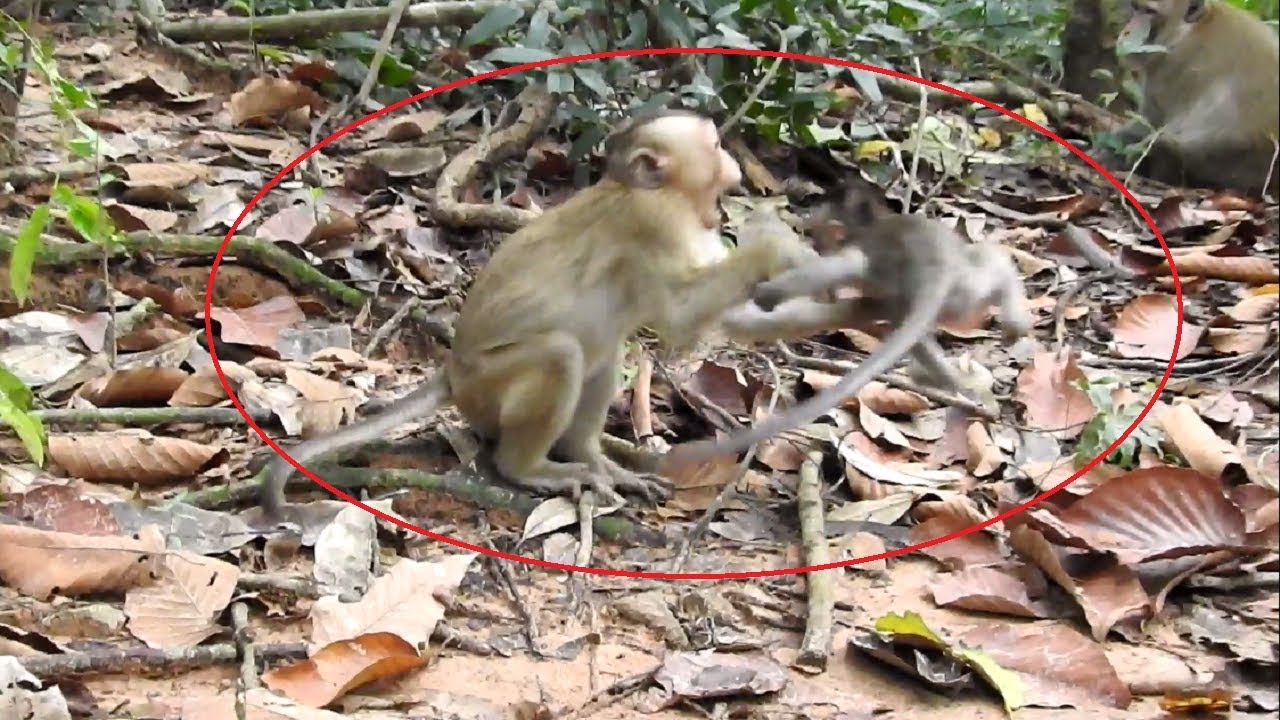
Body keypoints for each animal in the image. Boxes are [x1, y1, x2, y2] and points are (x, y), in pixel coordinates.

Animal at [257, 108, 806, 517]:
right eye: (713, 146)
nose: (733, 162)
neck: (659, 193)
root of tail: (453, 372)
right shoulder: (657, 222)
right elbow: (680, 319)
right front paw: (779, 248)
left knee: (604, 352)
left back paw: (594, 459)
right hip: (487, 387)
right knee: (561, 354)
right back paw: (528, 468)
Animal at [1114, 0, 1279, 196]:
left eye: (1149, 11)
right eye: (1136, 8)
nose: (1126, 32)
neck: (1192, 29)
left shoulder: (1171, 68)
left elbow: (1150, 121)